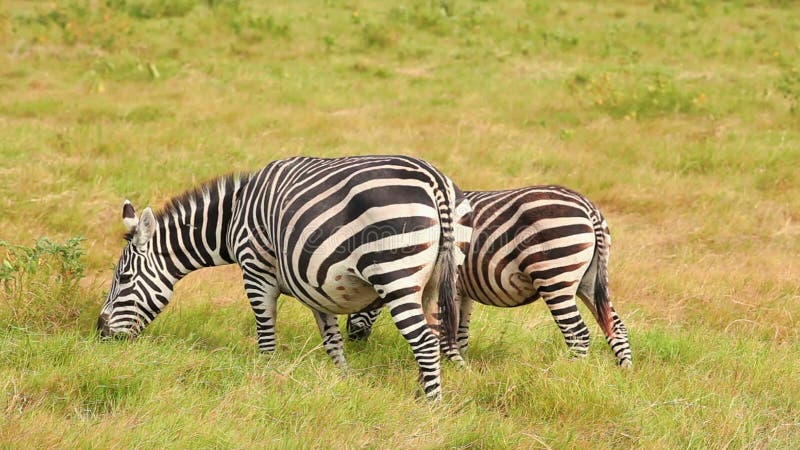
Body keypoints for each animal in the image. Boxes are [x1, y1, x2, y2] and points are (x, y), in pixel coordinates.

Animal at [97, 155, 473, 400]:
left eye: (124, 278)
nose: (100, 334)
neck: (233, 219)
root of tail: (435, 181)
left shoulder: (255, 270)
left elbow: (265, 334)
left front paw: (264, 379)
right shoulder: (318, 286)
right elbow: (332, 341)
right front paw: (344, 382)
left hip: (394, 273)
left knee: (424, 342)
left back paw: (431, 407)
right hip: (436, 282)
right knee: (435, 336)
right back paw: (421, 393)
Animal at [347, 185, 632, 367]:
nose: (353, 341)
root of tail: (588, 207)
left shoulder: (448, 286)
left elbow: (445, 328)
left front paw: (453, 363)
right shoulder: (462, 290)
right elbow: (460, 330)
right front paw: (458, 364)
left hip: (554, 276)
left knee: (578, 333)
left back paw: (567, 374)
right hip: (589, 280)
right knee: (616, 326)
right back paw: (624, 372)